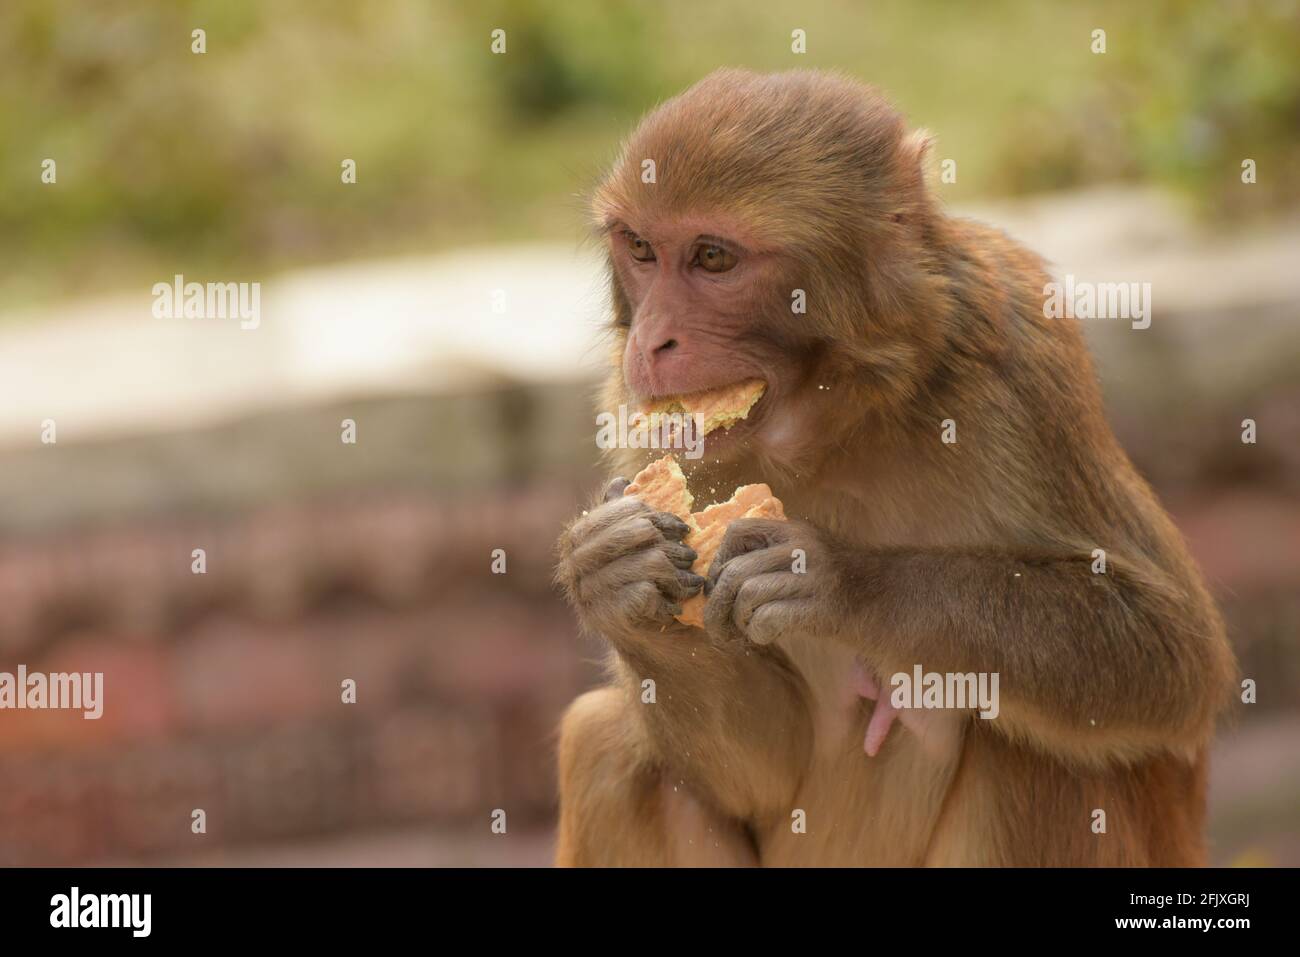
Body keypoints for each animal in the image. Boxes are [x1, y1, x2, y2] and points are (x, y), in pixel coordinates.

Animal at [553, 69, 1237, 866]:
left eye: (712, 258)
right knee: (605, 742)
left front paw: (841, 580)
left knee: (1042, 752)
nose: (652, 340)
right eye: (639, 247)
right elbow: (759, 774)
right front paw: (613, 577)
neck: (833, 421)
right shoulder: (634, 417)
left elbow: (1174, 657)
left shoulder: (1020, 352)